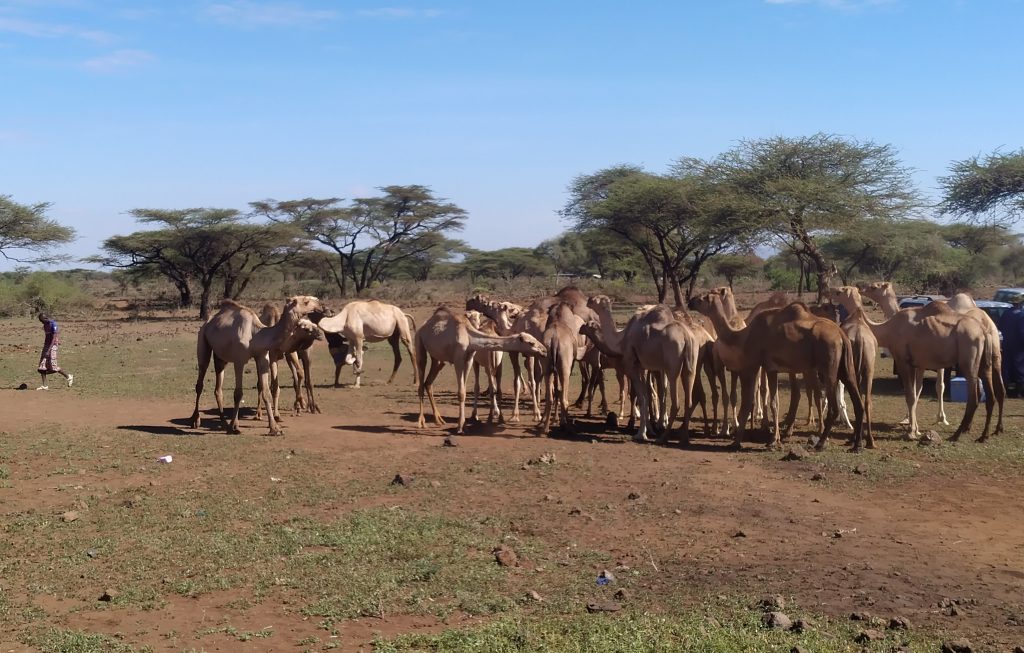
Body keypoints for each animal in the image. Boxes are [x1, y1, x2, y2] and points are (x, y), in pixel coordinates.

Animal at [190, 295, 328, 436]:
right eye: (306, 301)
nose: (322, 306)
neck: (256, 334)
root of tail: (208, 322)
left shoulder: (263, 358)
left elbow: (266, 391)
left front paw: (275, 428)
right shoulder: (239, 360)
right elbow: (238, 393)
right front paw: (234, 427)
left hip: (221, 357)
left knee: (218, 388)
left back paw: (224, 422)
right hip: (203, 341)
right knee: (200, 382)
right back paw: (196, 420)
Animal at [415, 306, 547, 435]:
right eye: (531, 343)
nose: (544, 350)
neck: (469, 336)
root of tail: (422, 327)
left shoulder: (469, 359)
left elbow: (465, 391)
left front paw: (465, 426)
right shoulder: (458, 359)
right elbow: (461, 392)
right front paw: (460, 427)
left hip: (437, 359)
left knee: (428, 382)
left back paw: (439, 420)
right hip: (419, 343)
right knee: (421, 383)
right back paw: (422, 422)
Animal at [689, 291, 866, 451]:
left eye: (702, 298)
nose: (690, 301)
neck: (743, 336)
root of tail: (842, 335)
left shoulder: (753, 365)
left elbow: (748, 401)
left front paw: (738, 441)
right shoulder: (771, 368)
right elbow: (774, 402)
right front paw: (774, 440)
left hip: (828, 367)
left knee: (833, 405)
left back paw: (821, 443)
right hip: (846, 368)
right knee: (858, 403)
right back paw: (856, 445)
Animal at [835, 285, 997, 442]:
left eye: (841, 291)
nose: (862, 288)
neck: (887, 329)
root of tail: (984, 330)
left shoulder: (903, 361)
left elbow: (910, 395)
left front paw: (911, 432)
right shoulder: (916, 363)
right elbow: (915, 394)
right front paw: (915, 429)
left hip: (969, 361)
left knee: (973, 397)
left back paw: (956, 434)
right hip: (984, 363)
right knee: (990, 393)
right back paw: (984, 435)